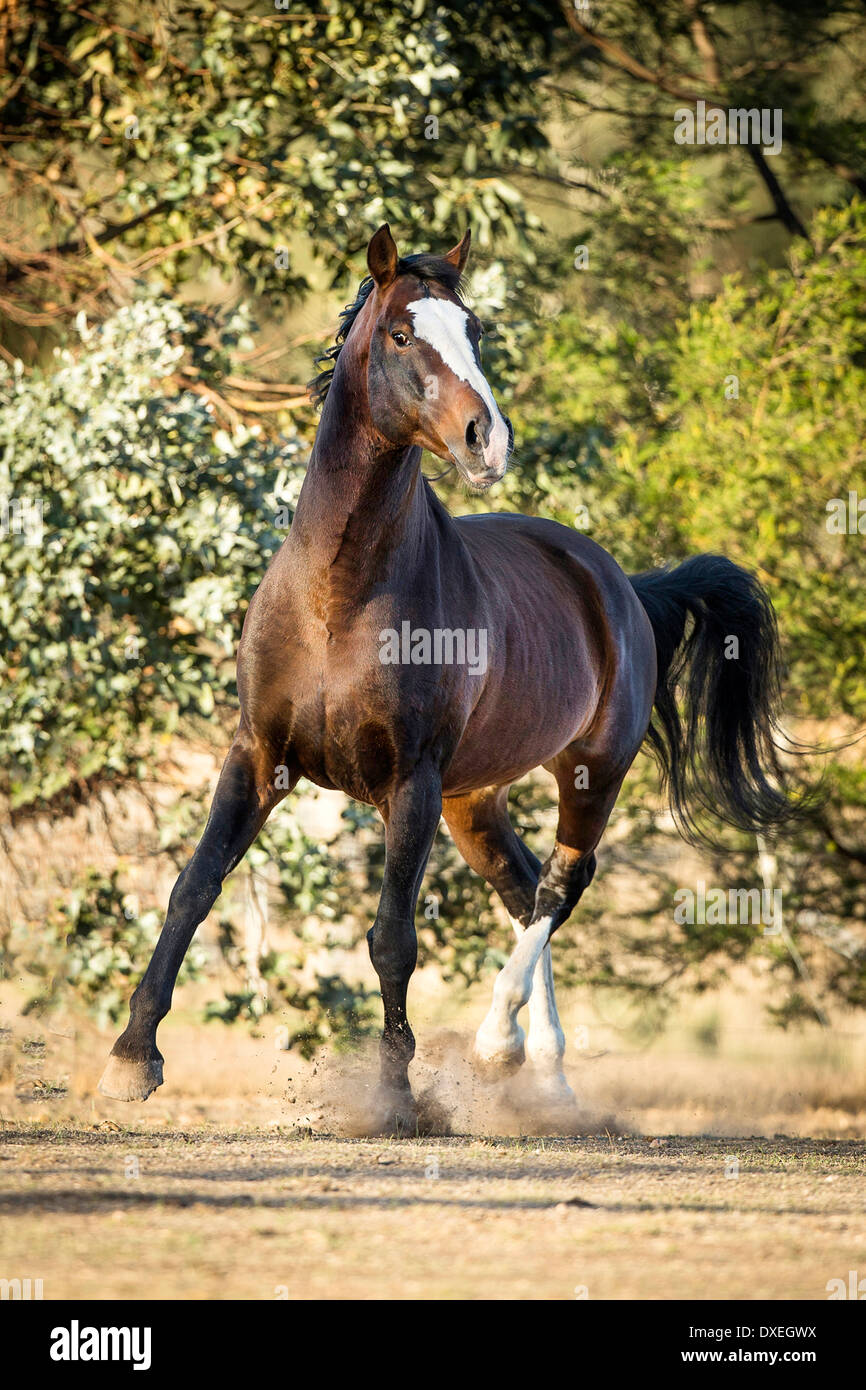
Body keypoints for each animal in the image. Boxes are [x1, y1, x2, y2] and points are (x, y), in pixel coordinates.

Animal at [99, 223, 797, 1128]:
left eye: (476, 331)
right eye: (402, 334)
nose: (486, 439)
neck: (338, 597)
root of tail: (624, 587)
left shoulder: (413, 780)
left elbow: (393, 935)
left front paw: (397, 1096)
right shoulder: (257, 756)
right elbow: (194, 887)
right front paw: (131, 1059)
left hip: (590, 770)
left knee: (562, 886)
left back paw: (500, 1045)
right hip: (476, 801)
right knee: (524, 889)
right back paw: (547, 1078)